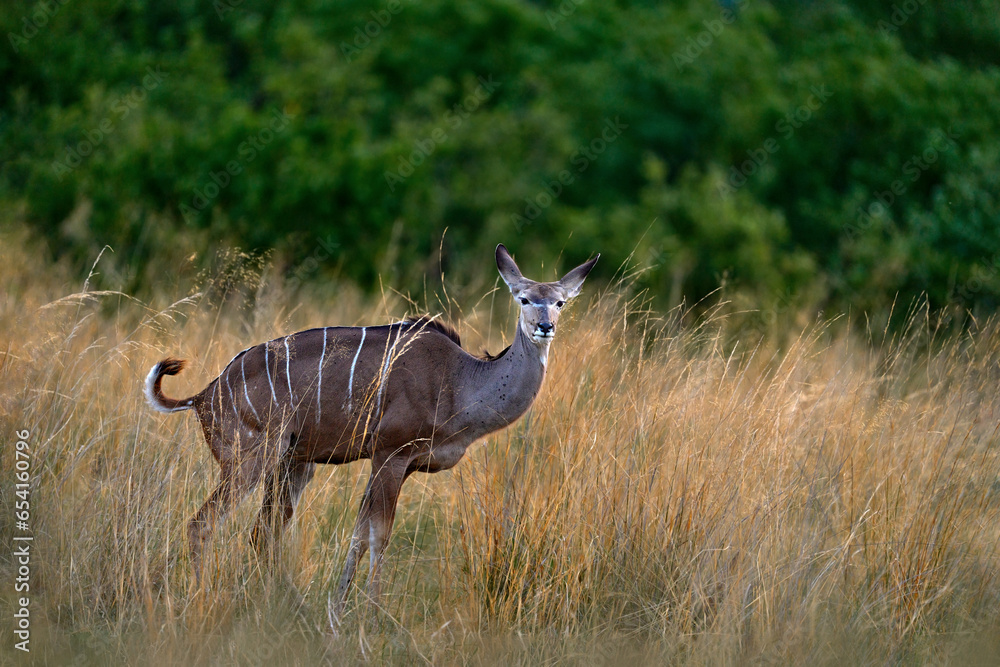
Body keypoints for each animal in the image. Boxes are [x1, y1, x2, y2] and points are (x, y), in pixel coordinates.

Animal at [144, 244, 598, 620]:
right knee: (203, 524)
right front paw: (374, 619)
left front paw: (337, 614)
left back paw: (285, 605)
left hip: (294, 465)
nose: (545, 327)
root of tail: (203, 396)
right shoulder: (390, 453)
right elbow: (379, 536)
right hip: (251, 460)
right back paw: (203, 601)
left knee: (262, 535)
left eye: (560, 301)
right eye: (524, 298)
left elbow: (359, 535)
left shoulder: (399, 464)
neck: (461, 381)